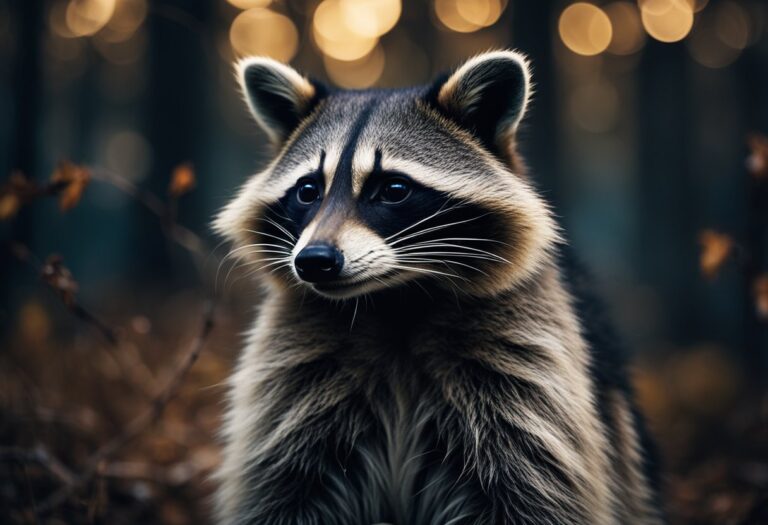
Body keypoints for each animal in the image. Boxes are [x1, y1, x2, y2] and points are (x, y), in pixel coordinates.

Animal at [213, 51, 663, 525]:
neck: (393, 300)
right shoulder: (295, 373)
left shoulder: (526, 371)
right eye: (307, 191)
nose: (314, 261)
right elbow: (282, 489)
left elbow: (531, 488)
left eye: (393, 189)